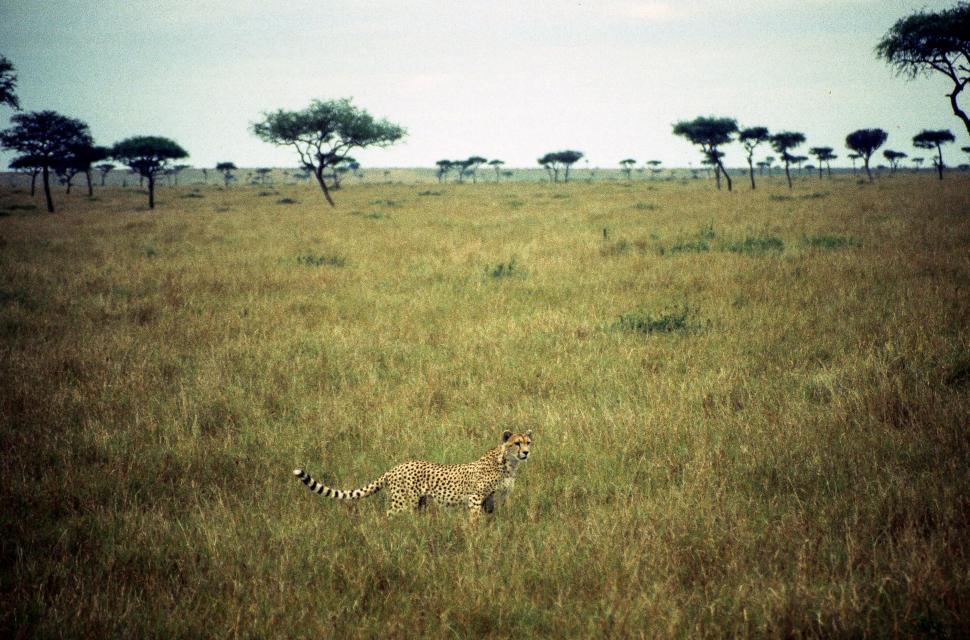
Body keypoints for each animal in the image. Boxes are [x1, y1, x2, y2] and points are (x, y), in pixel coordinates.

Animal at [293, 430, 532, 523]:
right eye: (516, 443)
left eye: (528, 442)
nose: (526, 453)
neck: (508, 463)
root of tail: (395, 467)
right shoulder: (475, 498)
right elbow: (475, 520)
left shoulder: (494, 499)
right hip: (402, 503)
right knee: (388, 517)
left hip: (418, 503)